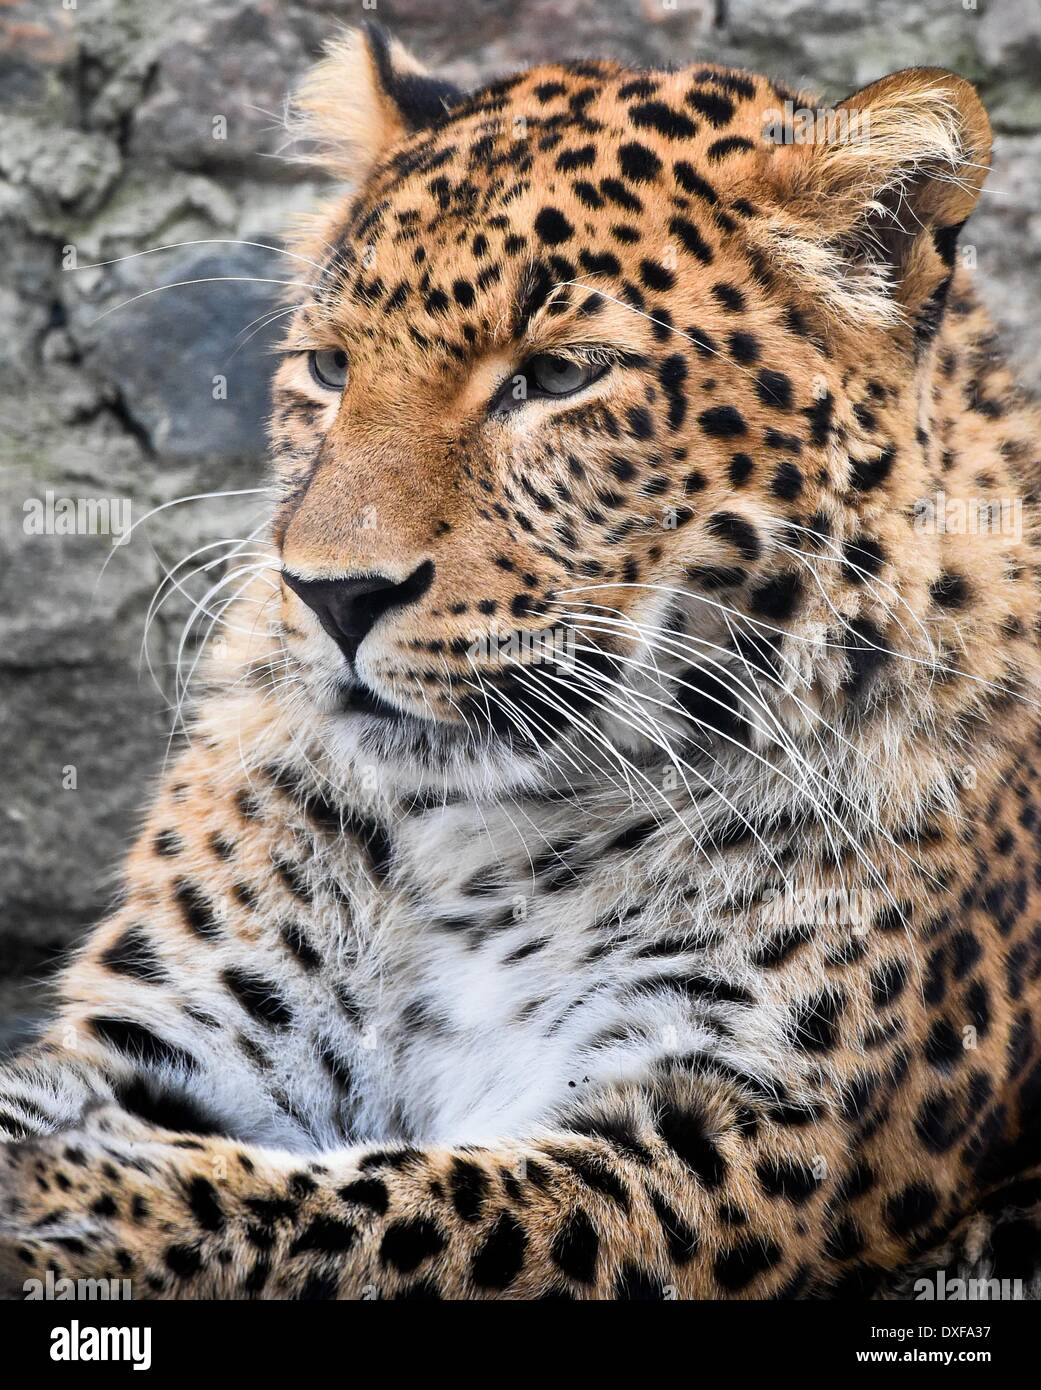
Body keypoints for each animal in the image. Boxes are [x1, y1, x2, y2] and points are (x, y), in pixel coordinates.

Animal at [2, 22, 1041, 1302]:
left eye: (558, 376)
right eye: (330, 367)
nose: (334, 593)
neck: (469, 835)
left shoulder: (742, 1144)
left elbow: (363, 1210)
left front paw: (57, 1189)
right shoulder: (180, 1029)